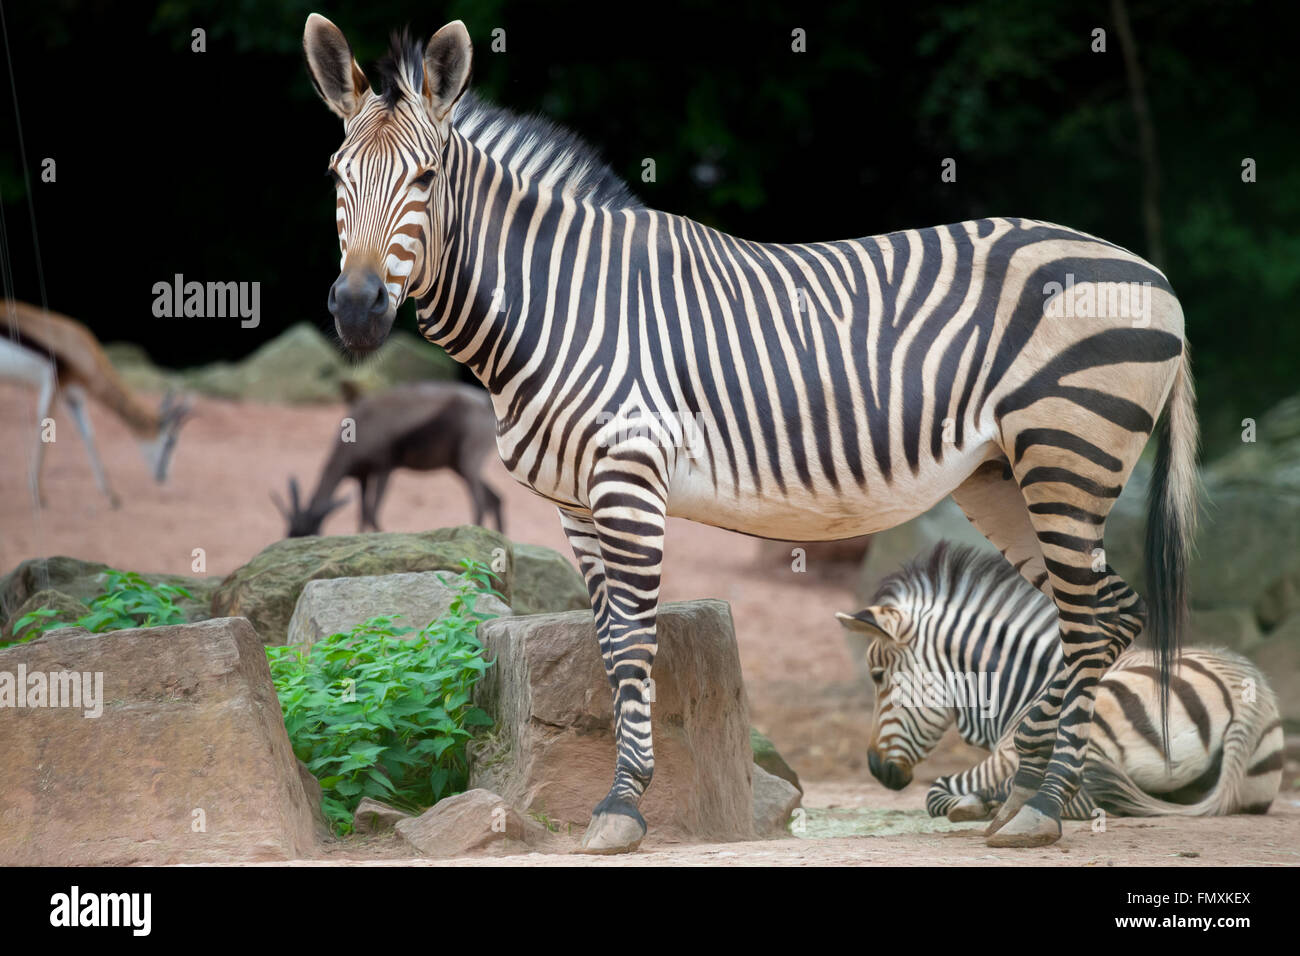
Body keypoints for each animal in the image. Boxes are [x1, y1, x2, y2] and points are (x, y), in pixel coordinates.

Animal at [303, 16, 1198, 851]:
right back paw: (1025, 792)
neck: (555, 304)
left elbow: (632, 645)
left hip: (1067, 454)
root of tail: (1152, 273)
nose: (356, 308)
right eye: (336, 176)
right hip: (1005, 475)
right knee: (1110, 613)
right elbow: (605, 644)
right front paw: (619, 797)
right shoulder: (573, 502)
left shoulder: (629, 477)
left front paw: (623, 807)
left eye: (425, 178)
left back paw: (1042, 805)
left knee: (1087, 620)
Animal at [837, 543, 1284, 821]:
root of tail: (1249, 694)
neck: (1026, 680)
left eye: (877, 676)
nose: (874, 768)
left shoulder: (1009, 750)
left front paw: (973, 804)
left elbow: (937, 790)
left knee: (1079, 799)